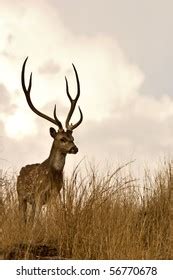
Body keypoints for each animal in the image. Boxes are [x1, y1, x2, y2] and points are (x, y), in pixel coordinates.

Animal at [16, 58, 83, 224]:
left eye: (73, 138)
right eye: (62, 138)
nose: (75, 148)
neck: (53, 175)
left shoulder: (55, 194)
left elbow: (51, 217)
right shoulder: (39, 193)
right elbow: (36, 221)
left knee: (30, 217)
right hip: (21, 195)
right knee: (24, 217)